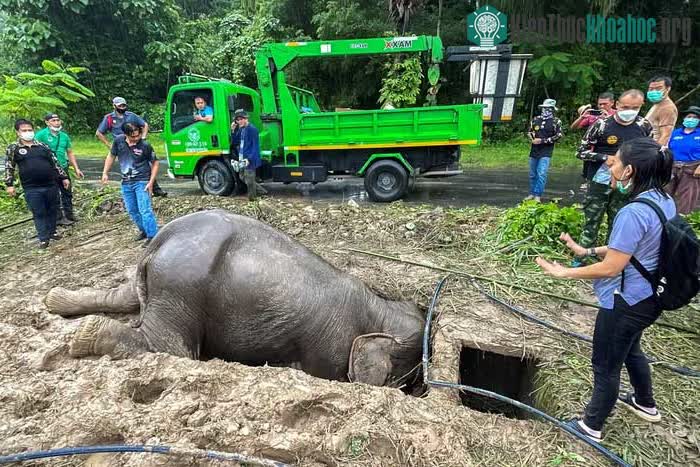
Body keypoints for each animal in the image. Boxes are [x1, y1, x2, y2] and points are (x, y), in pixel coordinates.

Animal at [46, 210, 426, 390]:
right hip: (181, 288)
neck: (379, 306)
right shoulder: (329, 347)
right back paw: (85, 336)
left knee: (124, 297)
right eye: (405, 378)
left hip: (161, 281)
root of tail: (159, 240)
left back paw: (55, 302)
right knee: (171, 348)